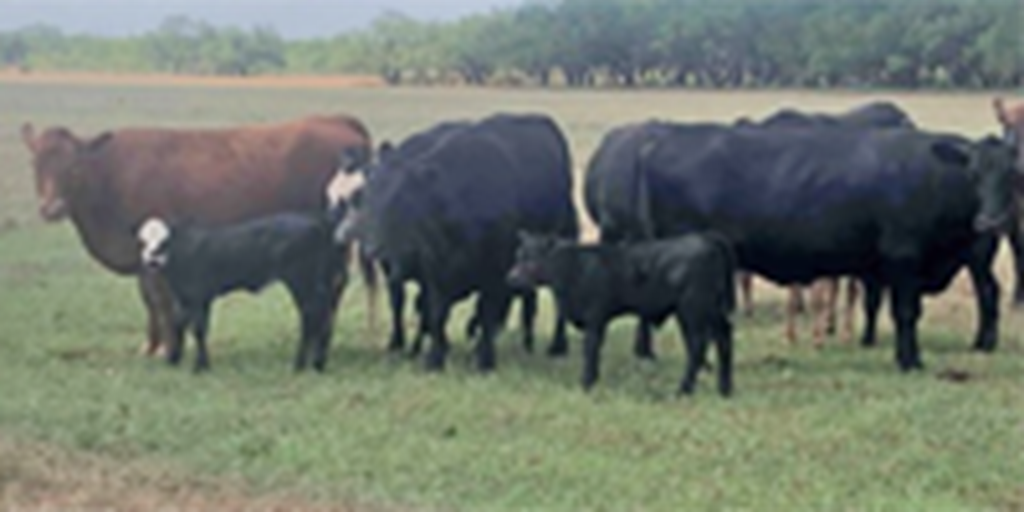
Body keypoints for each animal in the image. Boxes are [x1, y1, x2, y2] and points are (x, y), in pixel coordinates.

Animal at [136, 207, 350, 372]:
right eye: (142, 241)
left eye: (164, 241)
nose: (151, 260)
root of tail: (317, 223)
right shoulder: (185, 298)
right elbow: (179, 323)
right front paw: (173, 359)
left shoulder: (200, 297)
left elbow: (199, 329)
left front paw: (201, 366)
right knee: (322, 315)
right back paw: (317, 363)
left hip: (300, 280)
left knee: (310, 314)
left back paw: (300, 365)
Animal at [344, 113, 578, 372]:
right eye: (361, 197)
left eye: (400, 201)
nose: (370, 249)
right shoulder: (433, 271)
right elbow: (435, 312)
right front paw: (434, 358)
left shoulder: (496, 272)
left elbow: (487, 312)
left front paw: (484, 360)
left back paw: (557, 345)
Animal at [507, 232, 736, 396]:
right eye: (518, 255)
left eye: (531, 258)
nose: (511, 278)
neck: (576, 267)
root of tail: (706, 239)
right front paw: (592, 380)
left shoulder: (595, 317)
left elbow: (590, 349)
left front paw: (586, 383)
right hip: (710, 310)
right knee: (723, 337)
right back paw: (724, 389)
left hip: (693, 309)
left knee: (698, 345)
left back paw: (683, 390)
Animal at [587, 120, 1017, 372]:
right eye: (973, 172)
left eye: (1015, 172)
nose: (991, 221)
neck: (934, 176)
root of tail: (658, 141)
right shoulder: (904, 259)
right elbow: (907, 314)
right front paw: (911, 361)